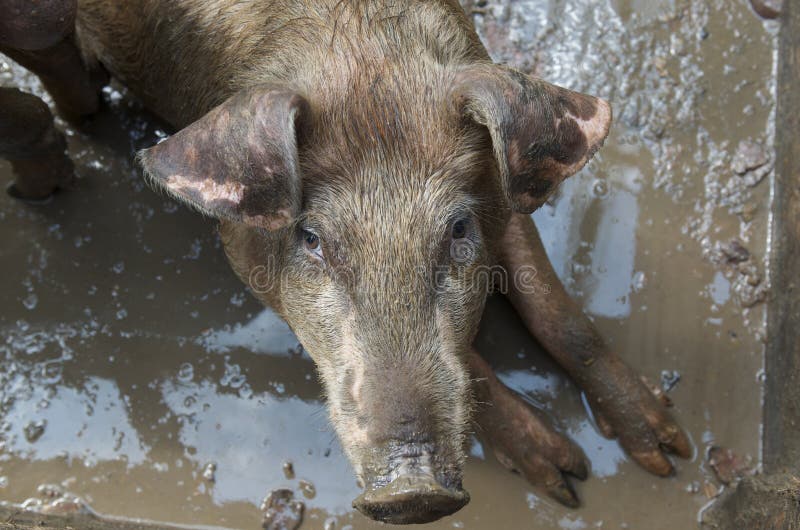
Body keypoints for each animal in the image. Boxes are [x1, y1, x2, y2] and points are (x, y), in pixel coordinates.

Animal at [0, 0, 691, 524]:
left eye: (458, 228)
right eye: (311, 238)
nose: (413, 493)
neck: (361, 55)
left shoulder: (508, 194)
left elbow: (557, 311)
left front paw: (665, 453)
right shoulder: (245, 256)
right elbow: (476, 362)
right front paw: (566, 480)